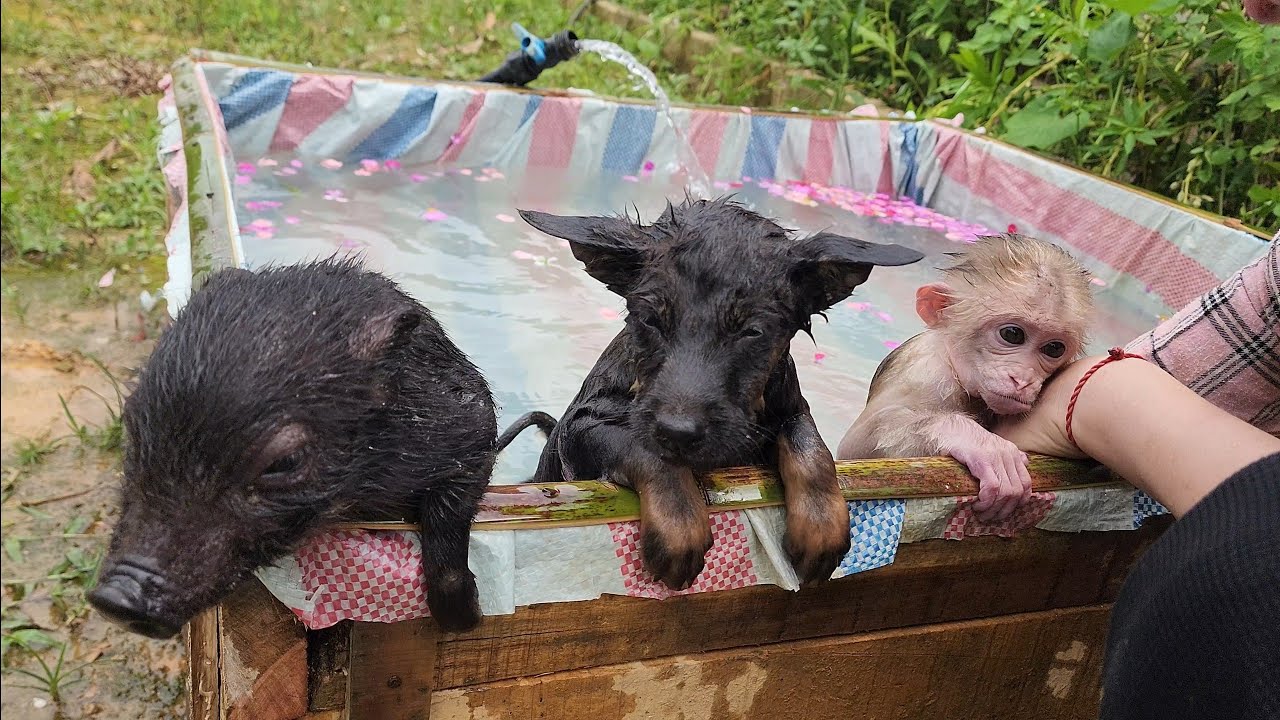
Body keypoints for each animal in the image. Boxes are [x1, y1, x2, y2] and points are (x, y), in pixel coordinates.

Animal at [836, 233, 1095, 521]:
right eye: (1012, 334)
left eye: (1053, 348)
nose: (1023, 379)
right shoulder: (925, 374)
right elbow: (855, 449)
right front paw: (972, 439)